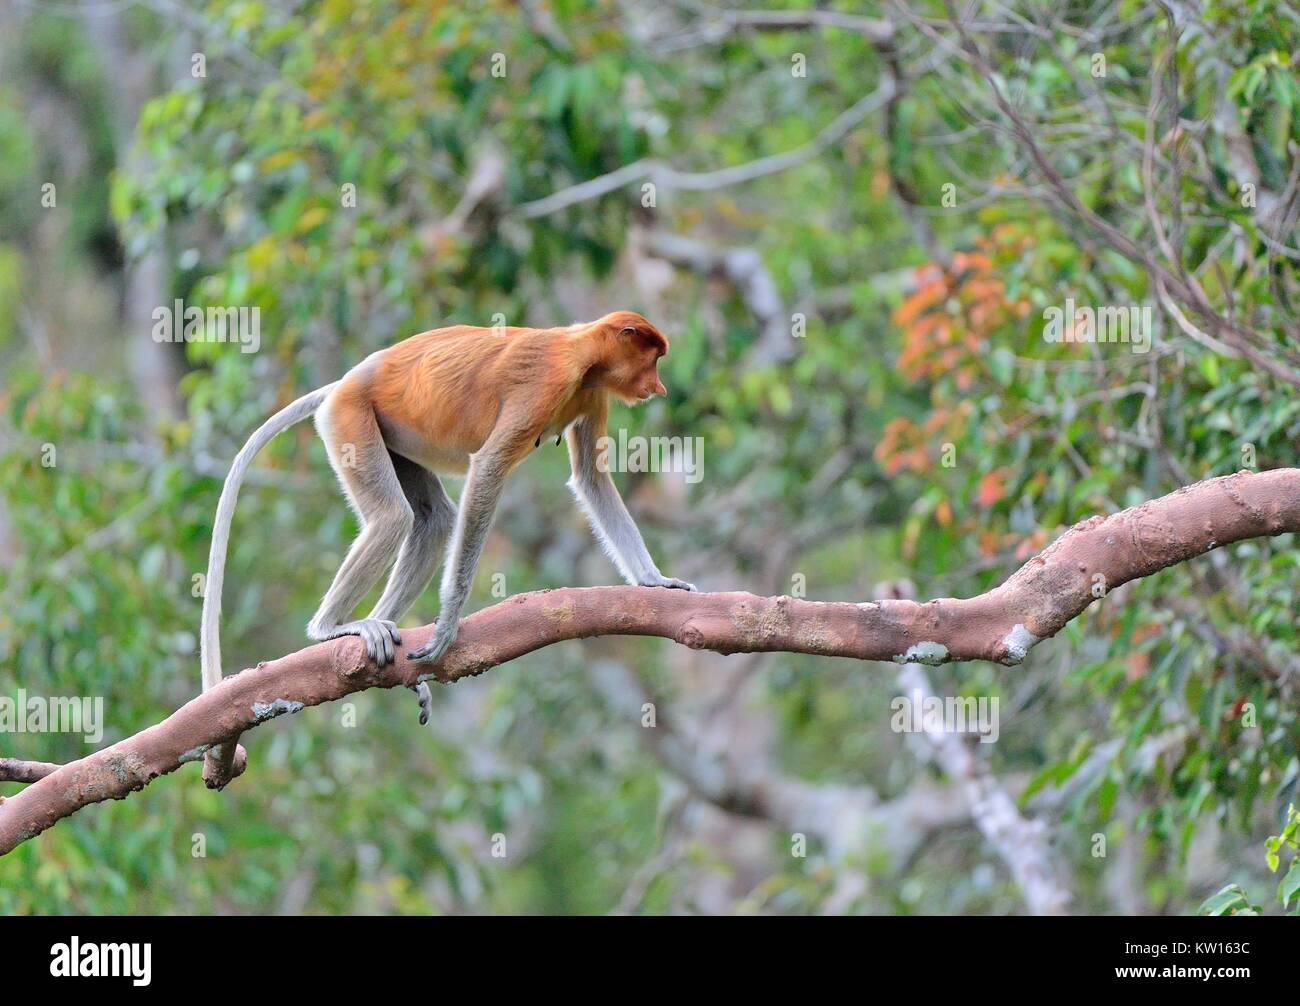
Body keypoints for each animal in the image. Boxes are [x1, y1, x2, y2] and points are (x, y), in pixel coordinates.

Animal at [199, 310, 695, 728]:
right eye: (654, 359)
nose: (660, 388)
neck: (583, 350)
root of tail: (346, 379)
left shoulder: (591, 396)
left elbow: (591, 478)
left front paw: (656, 581)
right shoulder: (546, 384)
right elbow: (489, 467)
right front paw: (448, 621)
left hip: (394, 433)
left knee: (434, 519)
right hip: (350, 415)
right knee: (392, 517)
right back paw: (331, 629)